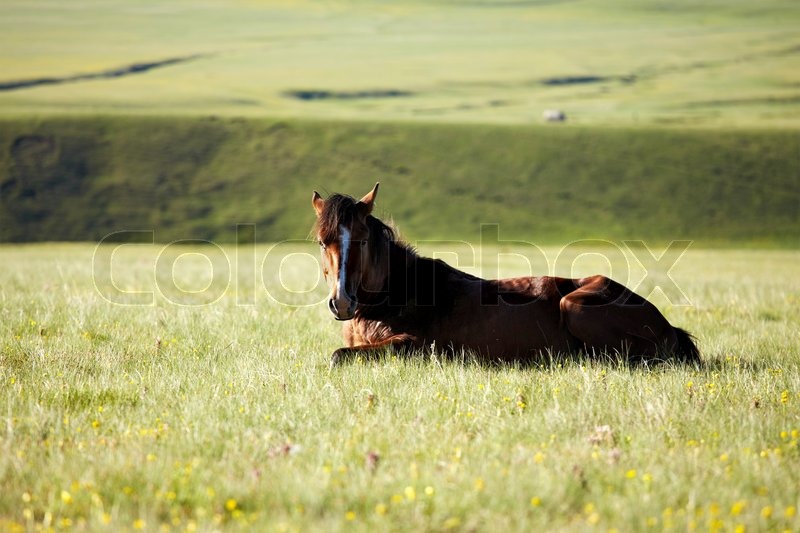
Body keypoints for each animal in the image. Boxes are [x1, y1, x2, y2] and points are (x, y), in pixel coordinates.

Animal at [312, 183, 699, 367]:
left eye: (361, 238)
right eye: (321, 242)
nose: (342, 302)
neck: (397, 295)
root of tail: (667, 326)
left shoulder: (418, 346)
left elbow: (338, 356)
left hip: (575, 305)